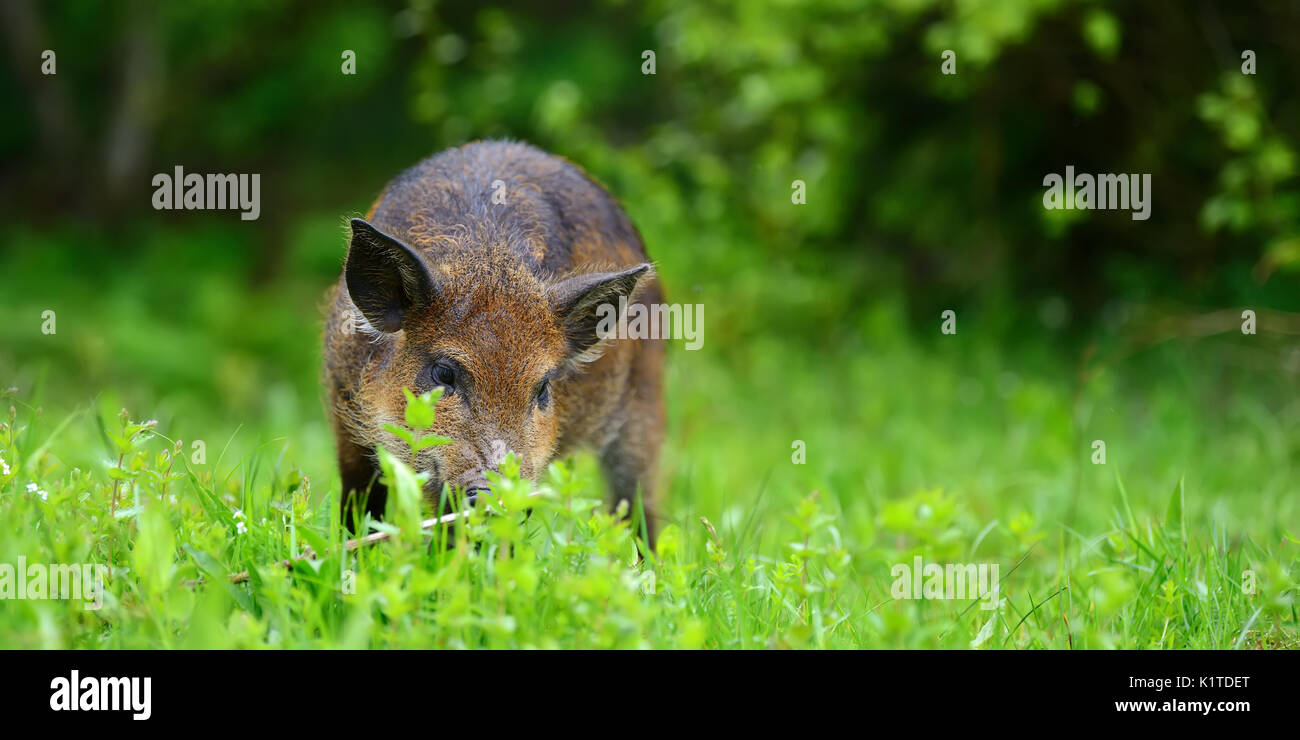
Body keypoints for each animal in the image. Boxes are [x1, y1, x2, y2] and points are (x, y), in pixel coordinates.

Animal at [323, 140, 663, 543]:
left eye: (543, 388)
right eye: (444, 373)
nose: (497, 492)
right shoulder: (342, 405)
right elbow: (360, 499)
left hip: (646, 399)